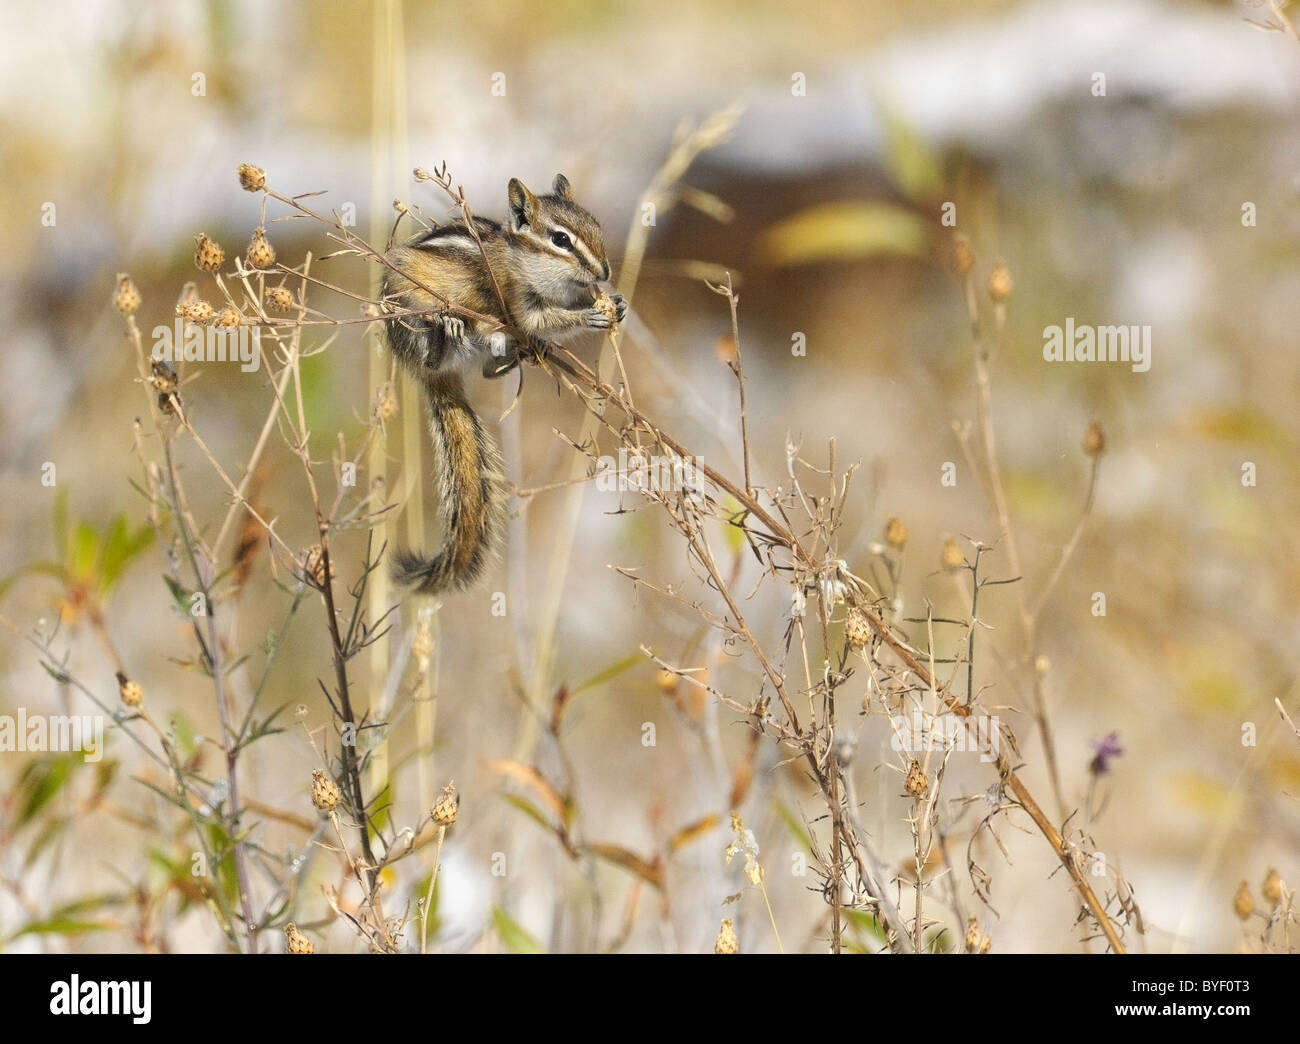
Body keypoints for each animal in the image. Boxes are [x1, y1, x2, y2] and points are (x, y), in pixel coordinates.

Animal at [382, 174, 627, 594]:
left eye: (595, 225)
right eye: (560, 239)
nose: (605, 273)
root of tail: (431, 377)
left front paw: (616, 306)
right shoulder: (517, 302)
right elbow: (543, 320)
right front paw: (590, 315)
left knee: (486, 369)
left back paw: (514, 354)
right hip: (406, 310)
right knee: (431, 347)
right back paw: (445, 329)